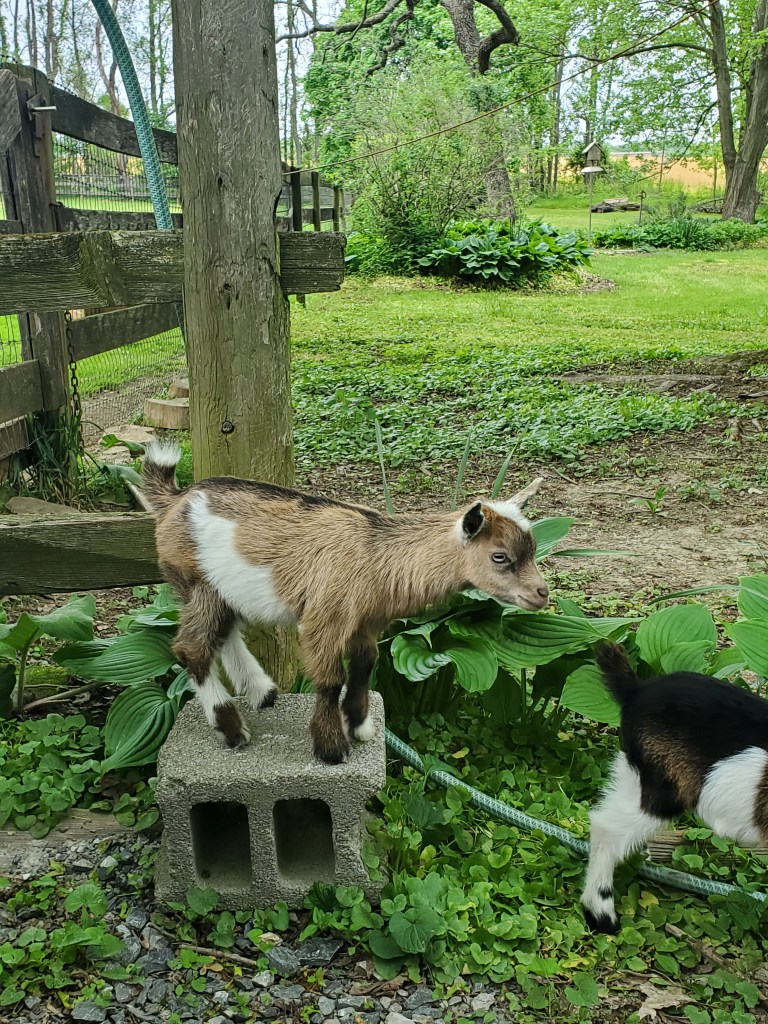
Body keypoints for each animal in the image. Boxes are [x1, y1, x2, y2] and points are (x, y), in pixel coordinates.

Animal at [141, 441, 549, 765]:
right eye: (500, 557)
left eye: (532, 549)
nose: (541, 594)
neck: (377, 557)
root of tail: (175, 499)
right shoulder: (326, 616)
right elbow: (329, 678)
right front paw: (332, 749)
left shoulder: (367, 620)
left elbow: (366, 662)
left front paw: (361, 725)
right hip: (197, 583)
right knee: (192, 648)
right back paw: (233, 730)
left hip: (222, 591)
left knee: (223, 635)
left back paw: (262, 693)